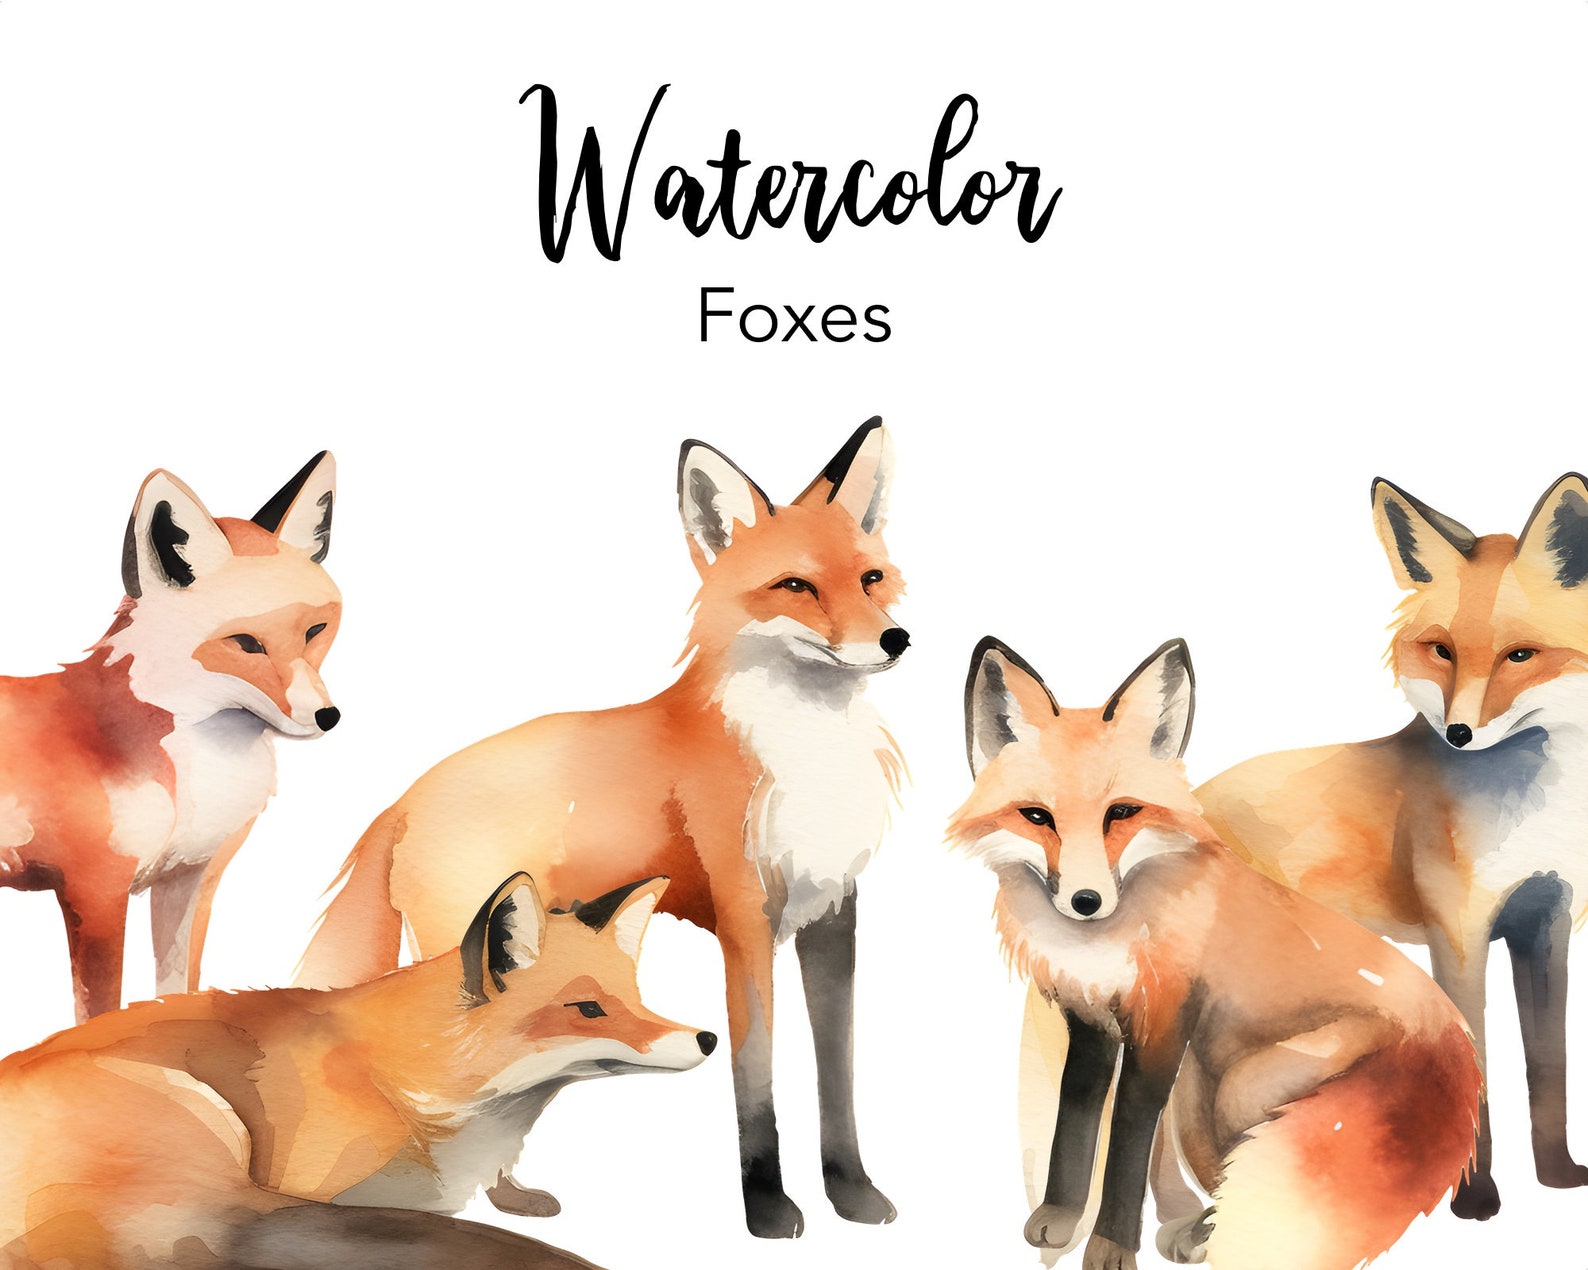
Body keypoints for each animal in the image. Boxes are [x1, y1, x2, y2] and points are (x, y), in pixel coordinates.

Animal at [0, 452, 341, 1023]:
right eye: (245, 643)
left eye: (316, 631)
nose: (327, 717)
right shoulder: (95, 892)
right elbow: (99, 1013)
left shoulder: (192, 879)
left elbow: (178, 989)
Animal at [296, 418, 907, 1239]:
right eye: (797, 587)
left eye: (870, 579)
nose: (897, 640)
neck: (807, 750)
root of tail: (404, 798)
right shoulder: (745, 919)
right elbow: (755, 1072)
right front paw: (768, 1208)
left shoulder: (833, 912)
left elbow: (836, 1074)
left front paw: (853, 1195)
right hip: (473, 947)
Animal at [950, 637, 1481, 1270]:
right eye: (1037, 816)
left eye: (1121, 812)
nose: (1085, 901)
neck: (1104, 941)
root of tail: (1458, 1044)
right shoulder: (1091, 1015)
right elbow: (1075, 1110)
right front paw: (1060, 1215)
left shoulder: (1163, 1022)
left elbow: (1127, 1137)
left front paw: (1109, 1247)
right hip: (1198, 1099)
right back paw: (1200, 1230)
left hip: (1240, 1087)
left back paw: (1207, 1235)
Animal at [1196, 473, 1588, 1220]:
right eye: (1442, 650)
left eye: (1520, 655)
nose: (1459, 734)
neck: (1537, 811)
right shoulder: (1457, 933)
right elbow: (1479, 1068)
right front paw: (1476, 1197)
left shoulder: (1547, 922)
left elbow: (1549, 1066)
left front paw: (1559, 1176)